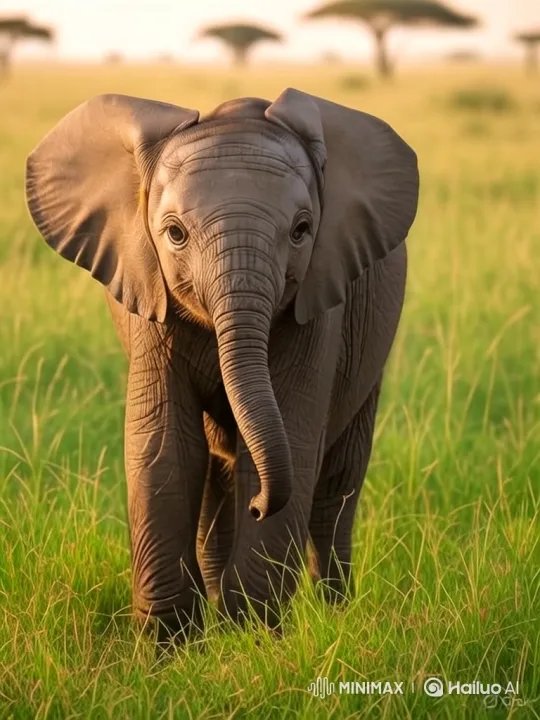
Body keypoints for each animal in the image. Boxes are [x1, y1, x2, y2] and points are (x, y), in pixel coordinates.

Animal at [25, 88, 419, 641]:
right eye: (174, 234)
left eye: (302, 230)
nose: (259, 506)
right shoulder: (150, 296)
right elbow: (165, 449)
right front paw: (171, 649)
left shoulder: (319, 303)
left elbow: (293, 441)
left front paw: (251, 641)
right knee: (217, 476)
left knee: (336, 487)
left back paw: (335, 613)